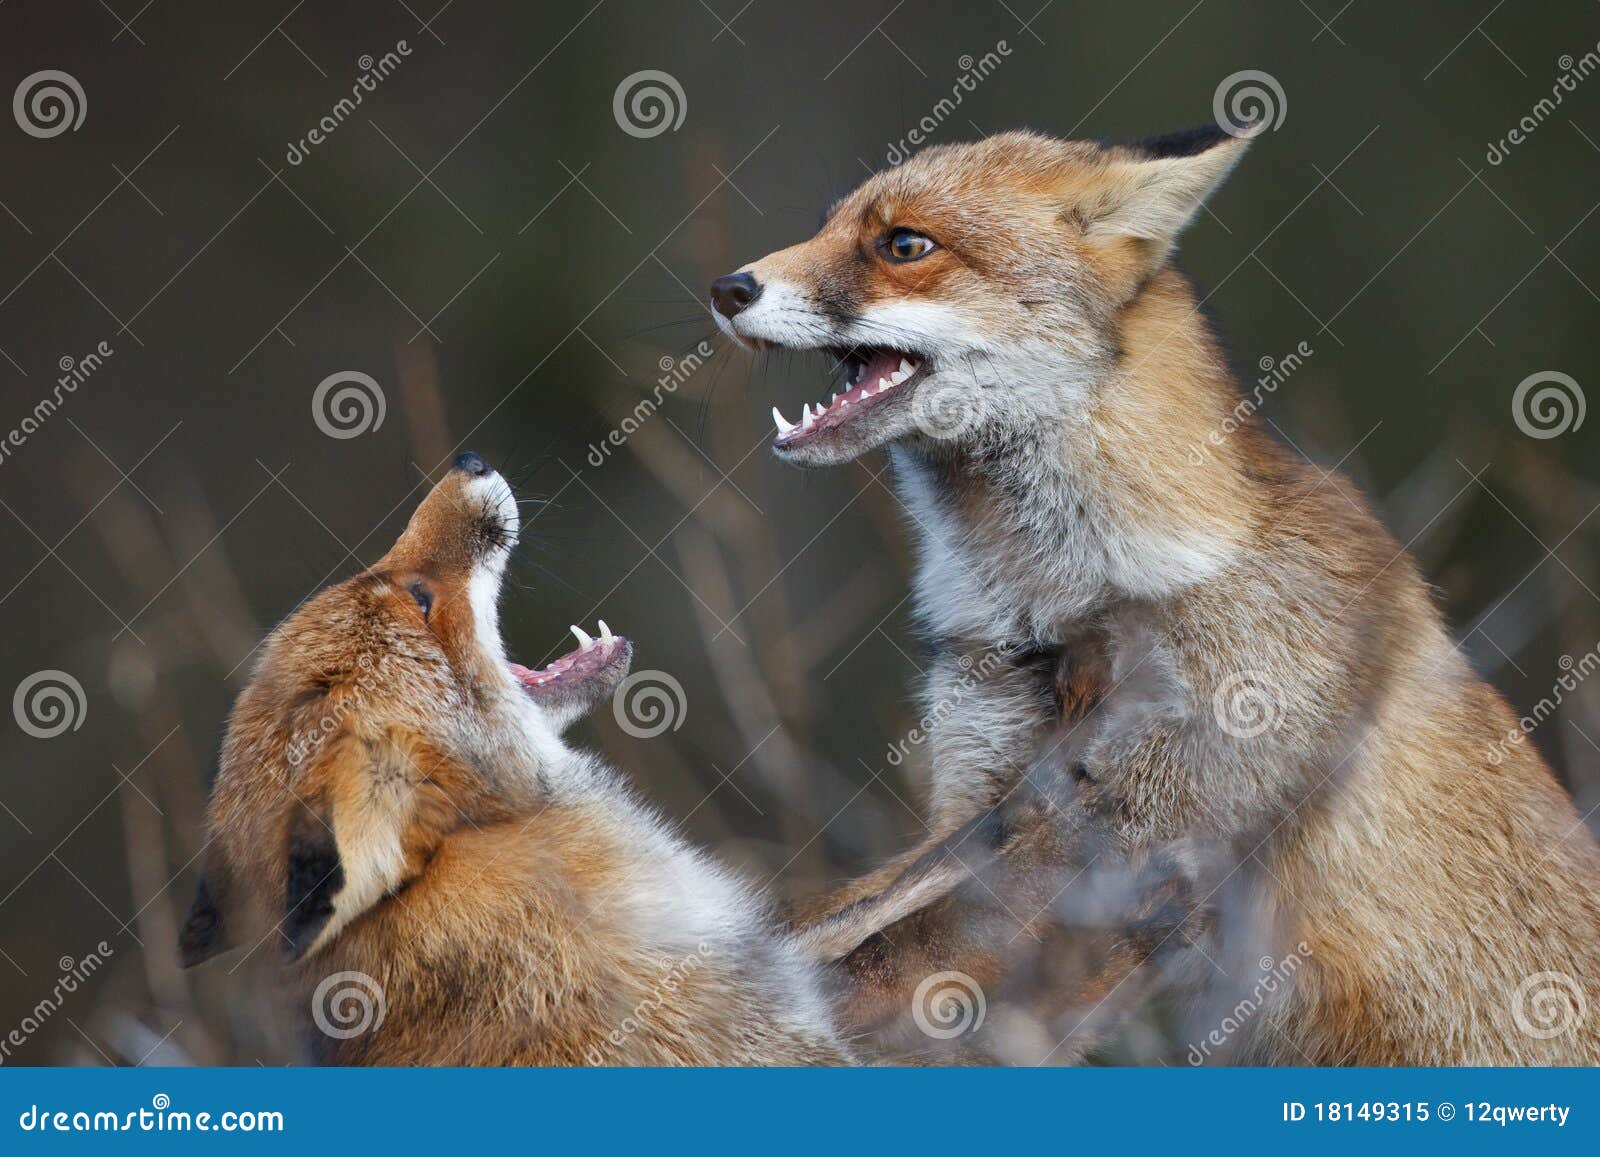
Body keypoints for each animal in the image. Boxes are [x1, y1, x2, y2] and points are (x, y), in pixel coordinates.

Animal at [712, 124, 1600, 1064]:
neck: (1060, 599)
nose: (728, 289)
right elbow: (852, 927)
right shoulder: (988, 788)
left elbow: (883, 962)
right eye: (828, 225)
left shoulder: (1144, 835)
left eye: (905, 245)